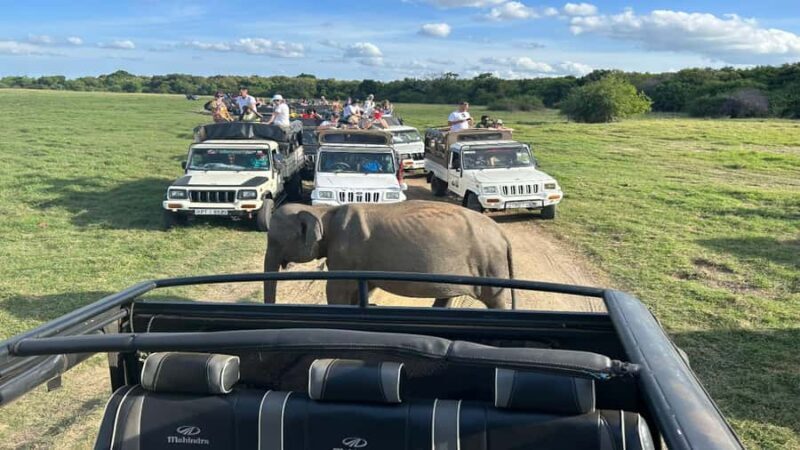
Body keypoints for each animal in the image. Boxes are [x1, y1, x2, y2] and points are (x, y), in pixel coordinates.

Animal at [263, 200, 515, 309]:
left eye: (274, 240)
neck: (324, 211)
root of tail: (503, 236)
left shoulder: (345, 252)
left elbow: (336, 290)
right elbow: (362, 289)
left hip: (489, 265)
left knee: (495, 299)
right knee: (447, 295)